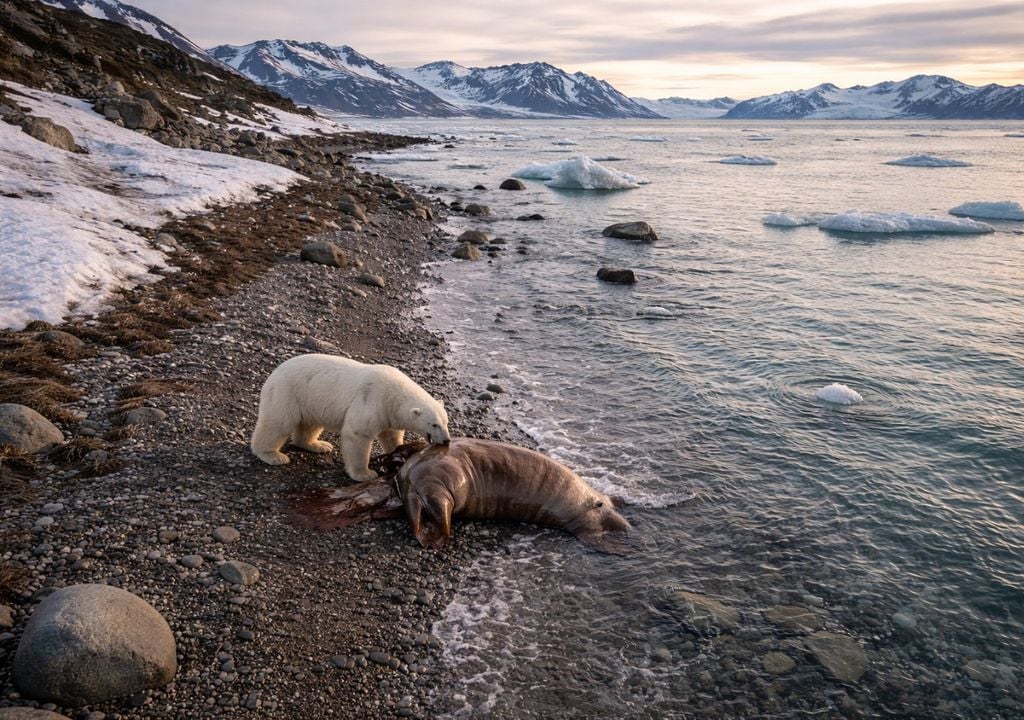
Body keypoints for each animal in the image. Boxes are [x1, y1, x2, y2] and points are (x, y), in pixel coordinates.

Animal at [250, 354, 450, 481]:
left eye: (446, 422)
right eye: (434, 424)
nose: (446, 440)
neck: (394, 393)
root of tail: (272, 375)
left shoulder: (388, 412)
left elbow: (391, 434)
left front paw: (400, 450)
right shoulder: (372, 400)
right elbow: (357, 434)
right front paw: (365, 474)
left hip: (310, 400)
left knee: (310, 424)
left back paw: (319, 445)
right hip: (288, 392)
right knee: (278, 423)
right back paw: (273, 455)